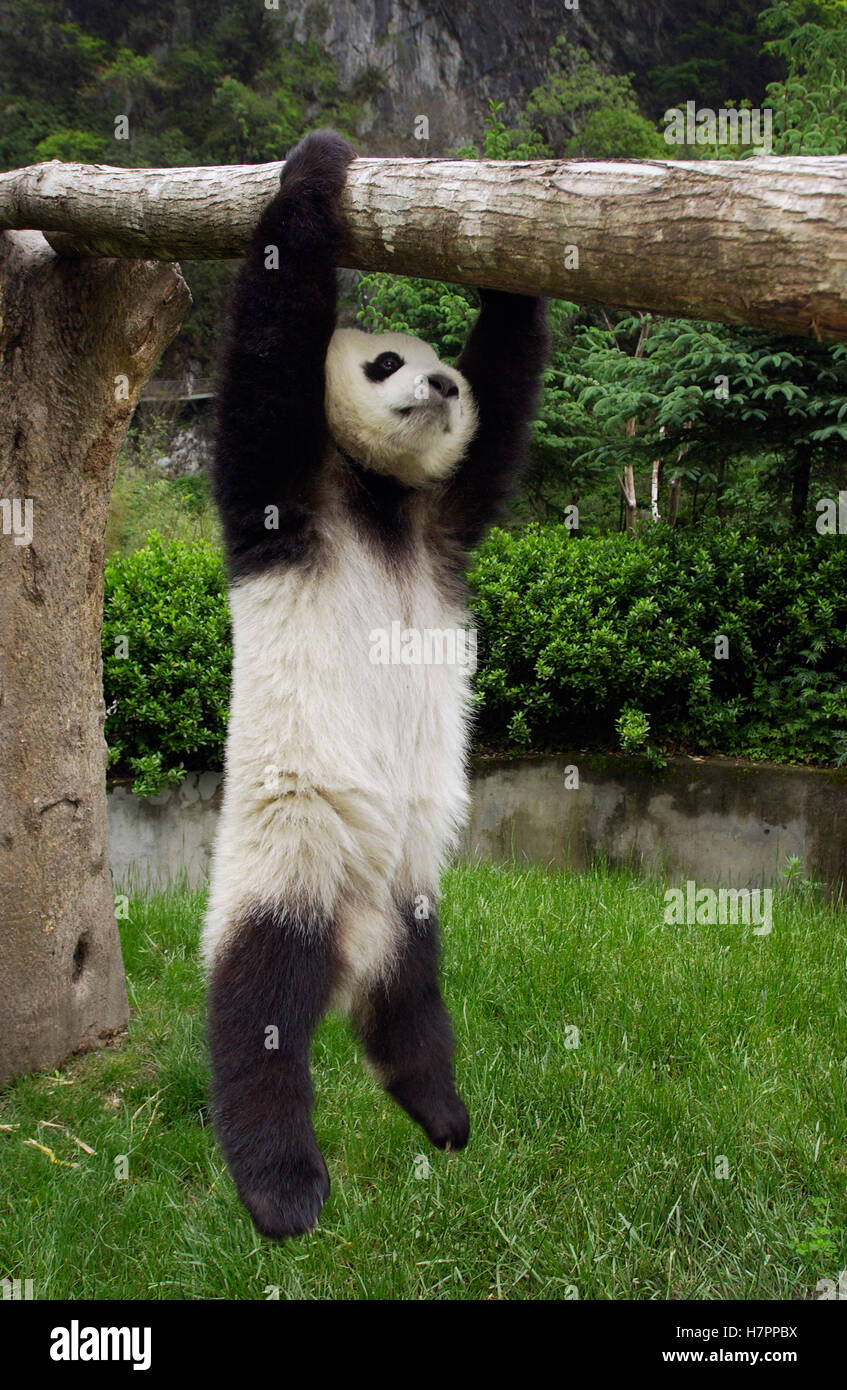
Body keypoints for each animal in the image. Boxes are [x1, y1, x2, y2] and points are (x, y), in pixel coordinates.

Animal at [203, 129, 549, 1240]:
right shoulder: (284, 489)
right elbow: (270, 344)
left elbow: (506, 393)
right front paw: (315, 164)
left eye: (444, 369)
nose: (438, 388)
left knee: (415, 1009)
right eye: (387, 362)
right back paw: (280, 1189)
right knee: (258, 1020)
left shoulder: (447, 518)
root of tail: (349, 952)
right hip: (288, 859)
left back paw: (440, 1111)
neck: (377, 493)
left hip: (414, 896)